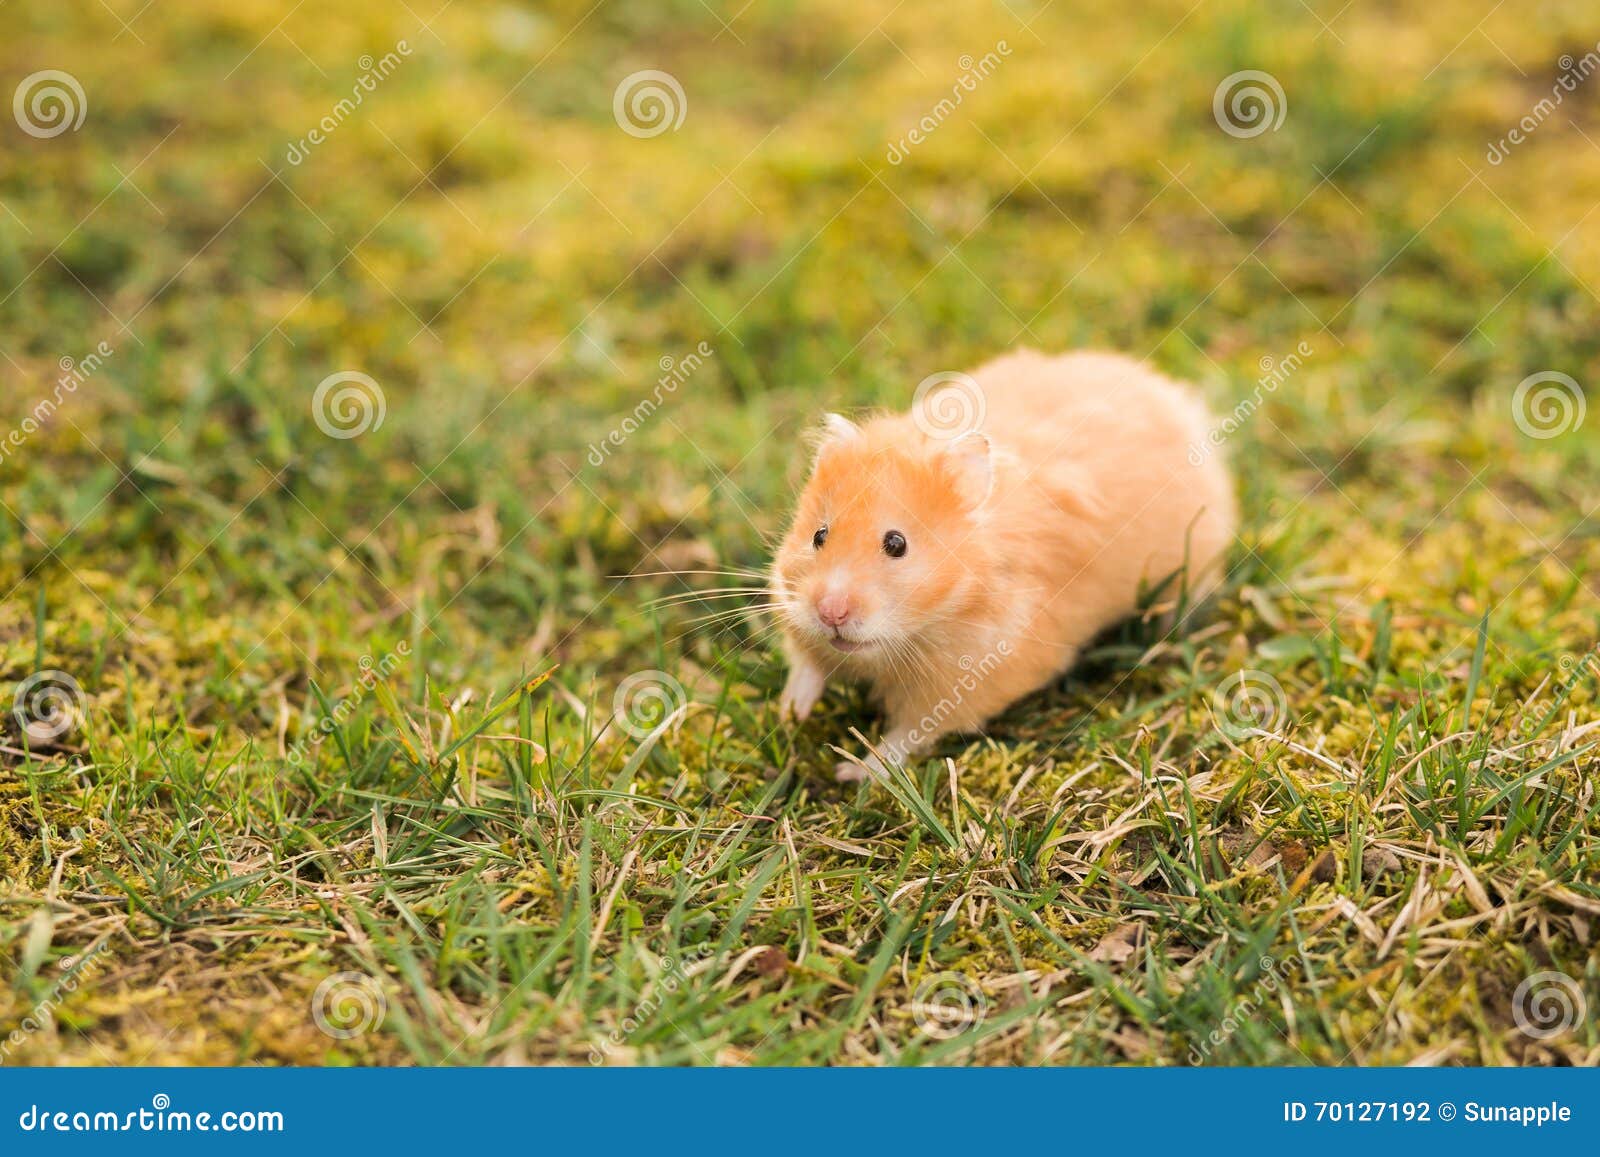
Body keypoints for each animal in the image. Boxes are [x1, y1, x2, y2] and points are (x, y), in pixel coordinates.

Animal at [771, 349, 1237, 781]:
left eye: (896, 544)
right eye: (818, 535)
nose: (830, 612)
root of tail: (1173, 398)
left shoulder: (973, 680)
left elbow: (909, 733)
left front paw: (851, 773)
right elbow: (807, 665)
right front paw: (789, 715)